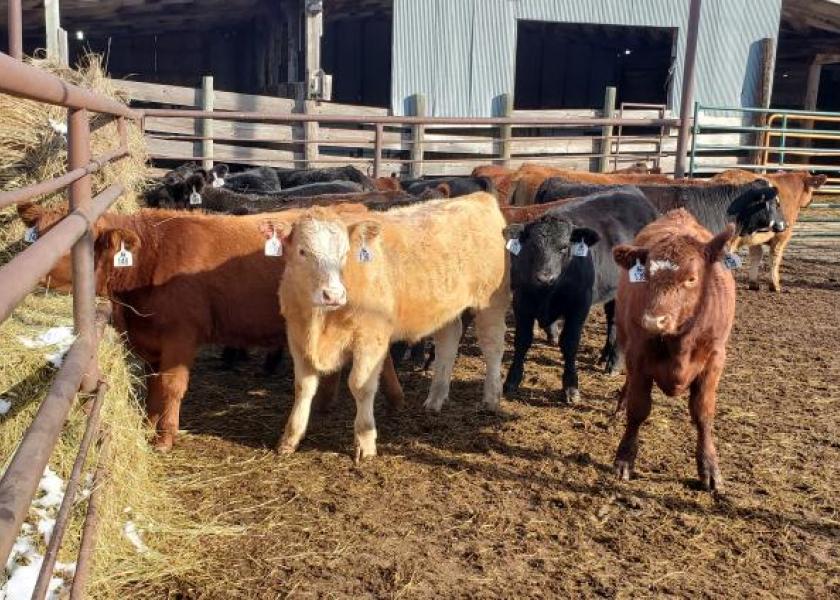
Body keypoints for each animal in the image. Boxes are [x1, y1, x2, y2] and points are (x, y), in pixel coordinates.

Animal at [17, 203, 404, 452]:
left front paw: (165, 437)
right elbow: (153, 386)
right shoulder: (149, 340)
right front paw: (147, 425)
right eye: (36, 234)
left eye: (71, 245)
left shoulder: (180, 336)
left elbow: (172, 386)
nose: (22, 264)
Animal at [268, 193, 510, 462]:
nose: (333, 294)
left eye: (345, 253)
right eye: (303, 251)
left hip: (492, 301)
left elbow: (360, 385)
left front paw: (365, 442)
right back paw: (435, 400)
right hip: (446, 308)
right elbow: (303, 387)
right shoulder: (297, 337)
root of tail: (478, 198)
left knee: (492, 345)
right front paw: (289, 438)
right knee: (449, 341)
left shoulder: (370, 338)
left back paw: (491, 398)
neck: (319, 320)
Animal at [503, 187, 659, 402]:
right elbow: (522, 340)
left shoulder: (579, 306)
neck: (547, 293)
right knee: (612, 318)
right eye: (533, 246)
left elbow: (569, 343)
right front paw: (512, 380)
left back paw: (614, 363)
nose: (545, 277)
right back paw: (605, 355)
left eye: (563, 247)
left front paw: (571, 386)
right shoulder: (522, 302)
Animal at [612, 209, 737, 492]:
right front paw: (624, 458)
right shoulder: (638, 355)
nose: (652, 321)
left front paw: (709, 467)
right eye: (646, 275)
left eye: (691, 278)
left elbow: (703, 414)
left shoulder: (715, 359)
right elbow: (638, 409)